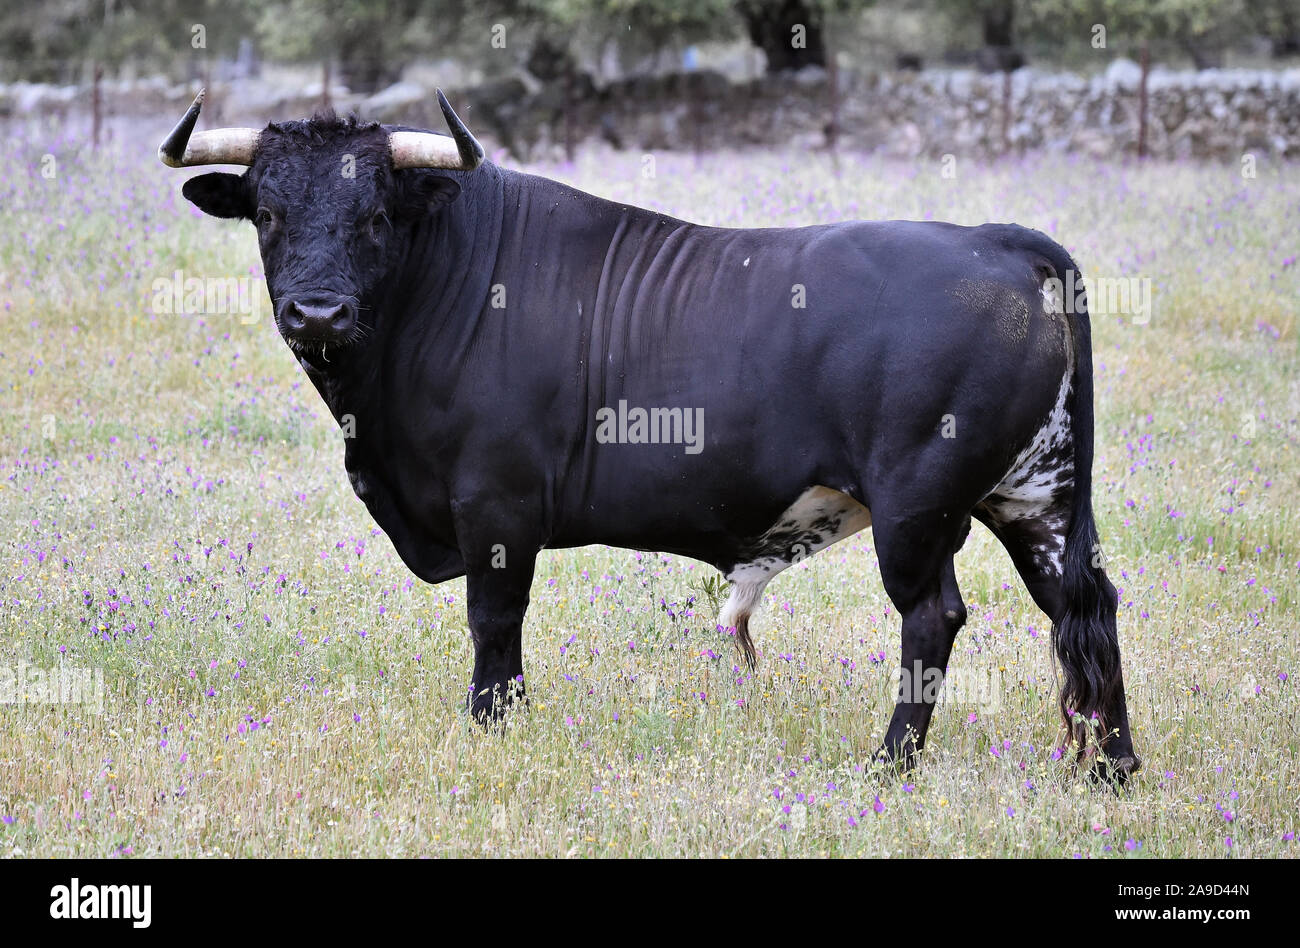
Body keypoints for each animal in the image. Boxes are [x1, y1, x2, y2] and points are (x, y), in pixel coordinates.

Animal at [158, 89, 1140, 781]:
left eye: (373, 216)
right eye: (268, 212)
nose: (316, 311)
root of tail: (999, 241)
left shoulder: (497, 505)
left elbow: (494, 623)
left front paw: (492, 726)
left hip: (918, 509)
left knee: (933, 618)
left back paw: (890, 764)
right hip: (1038, 497)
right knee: (1082, 606)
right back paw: (1110, 768)